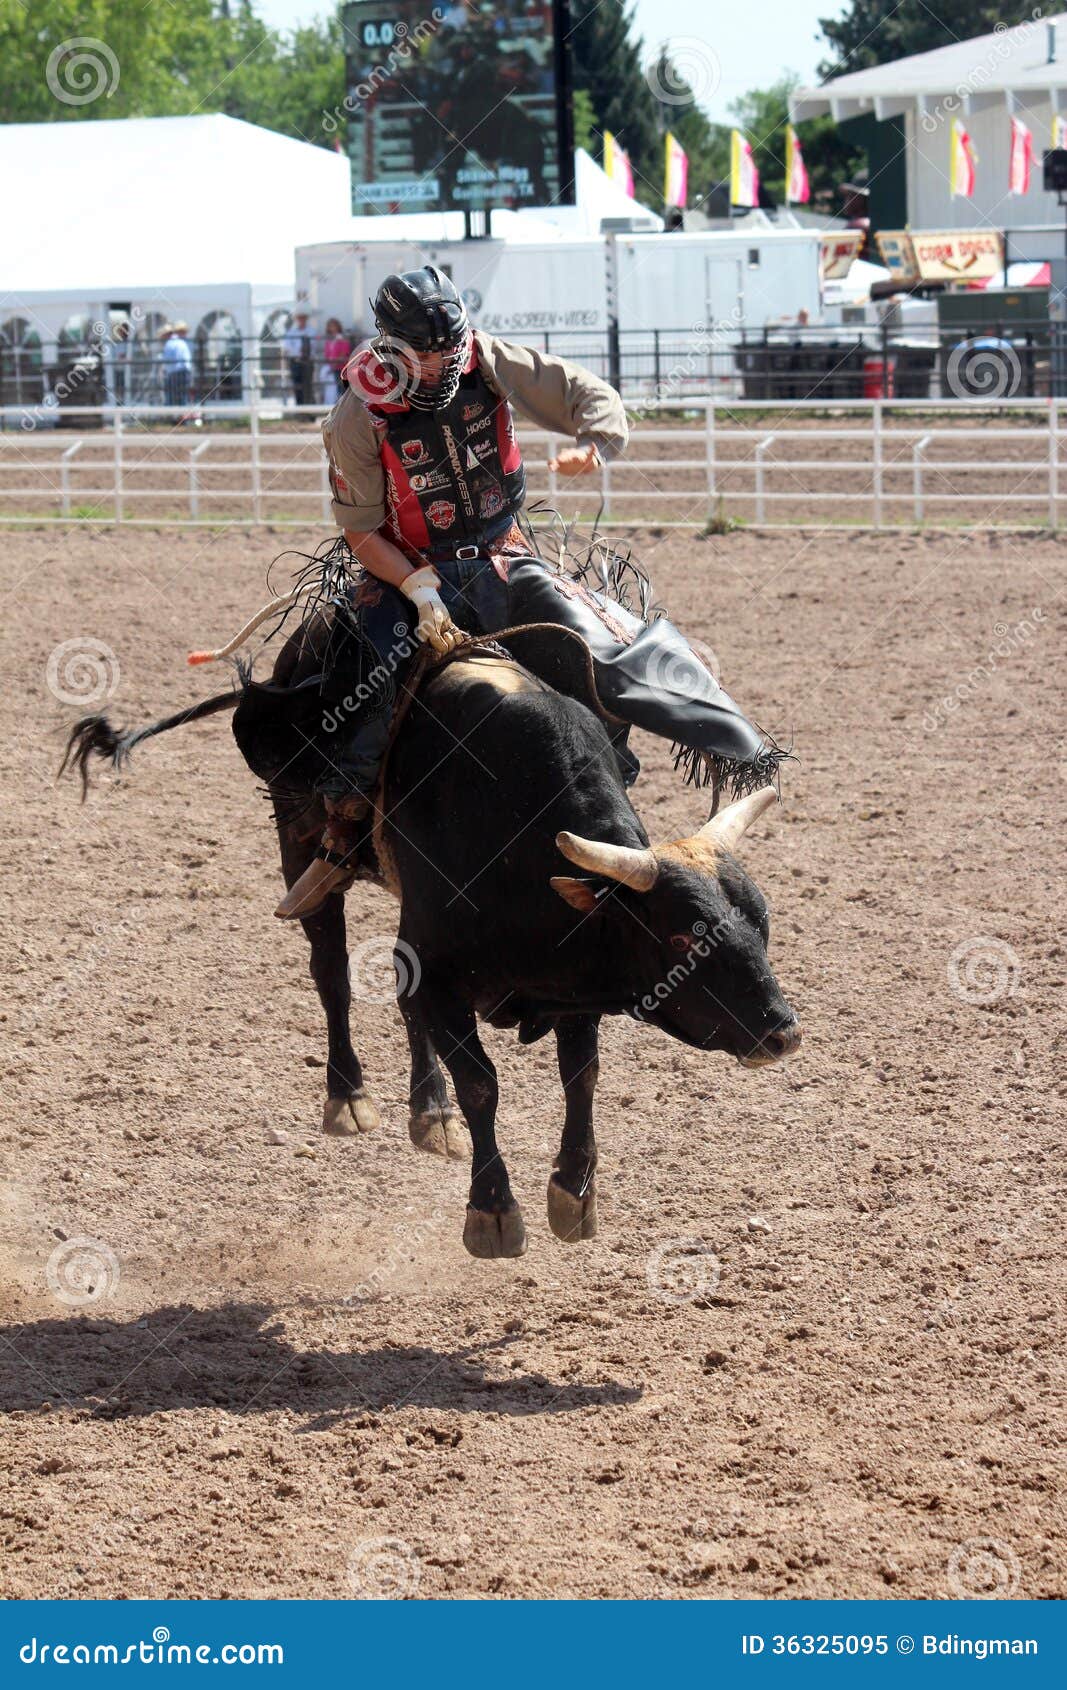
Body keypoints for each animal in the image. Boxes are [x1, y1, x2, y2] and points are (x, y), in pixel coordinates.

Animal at [64, 625, 800, 1261]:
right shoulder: (444, 973)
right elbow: (480, 1082)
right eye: (680, 935)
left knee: (400, 1002)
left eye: (763, 923)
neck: (517, 832)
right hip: (302, 849)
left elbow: (580, 1076)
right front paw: (493, 1212)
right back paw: (348, 1096)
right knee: (332, 974)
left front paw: (573, 1192)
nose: (783, 1031)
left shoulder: (570, 979)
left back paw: (429, 1110)